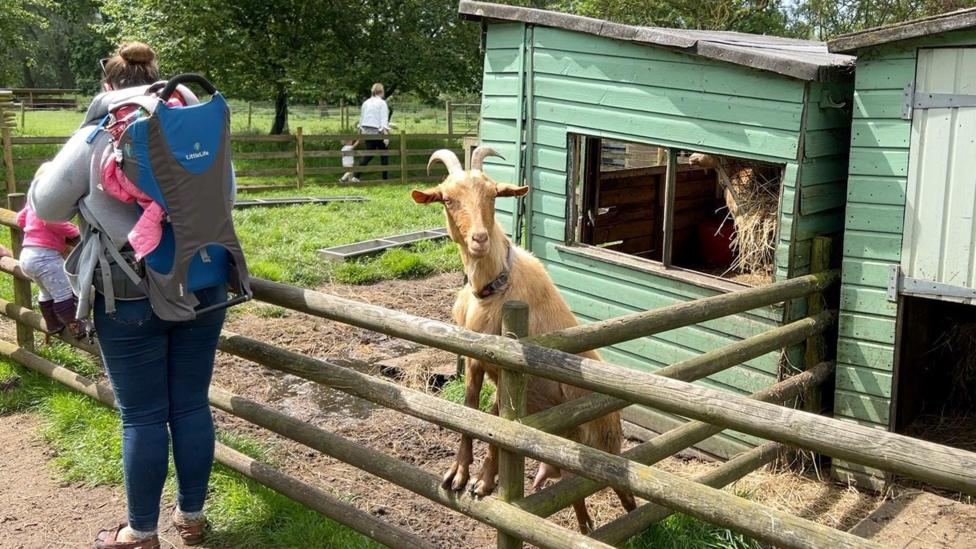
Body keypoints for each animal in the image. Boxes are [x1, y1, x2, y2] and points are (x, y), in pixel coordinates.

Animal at [411, 147, 636, 533]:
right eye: (447, 198)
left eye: (492, 195)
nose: (480, 239)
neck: (493, 286)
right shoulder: (474, 359)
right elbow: (471, 410)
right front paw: (458, 475)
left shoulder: (509, 367)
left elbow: (497, 420)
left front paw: (484, 483)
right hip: (565, 461)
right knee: (576, 500)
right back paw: (585, 528)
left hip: (606, 448)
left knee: (629, 497)